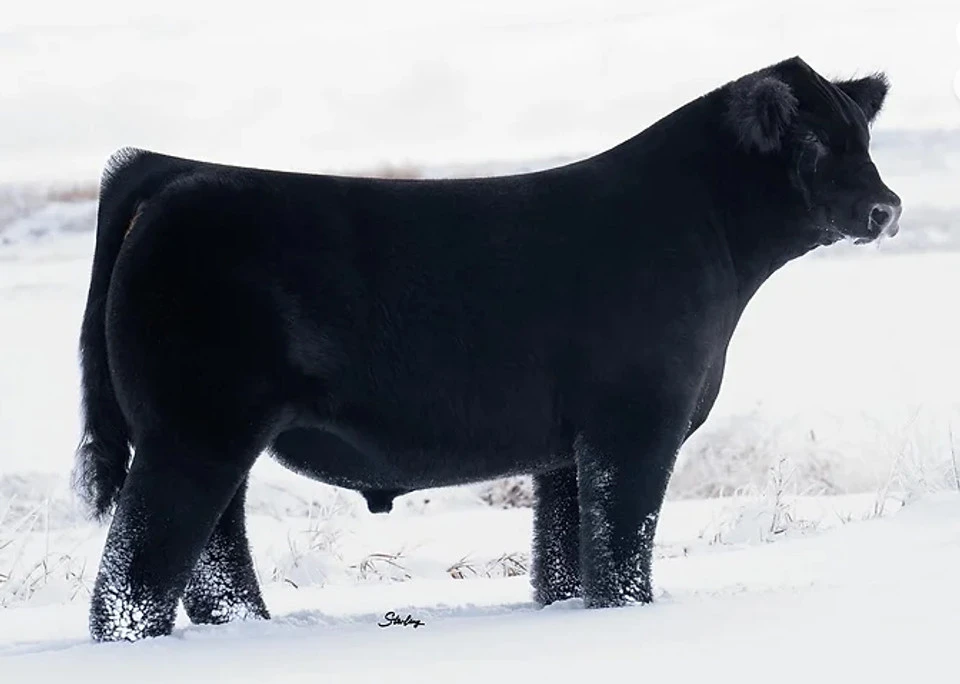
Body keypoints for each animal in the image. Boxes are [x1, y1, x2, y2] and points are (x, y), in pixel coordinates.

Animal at [74, 56, 901, 642]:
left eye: (863, 136)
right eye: (814, 141)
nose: (886, 208)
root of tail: (178, 171)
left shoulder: (568, 448)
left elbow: (566, 562)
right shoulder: (635, 425)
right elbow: (621, 551)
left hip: (213, 439)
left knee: (214, 561)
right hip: (192, 433)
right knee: (135, 578)